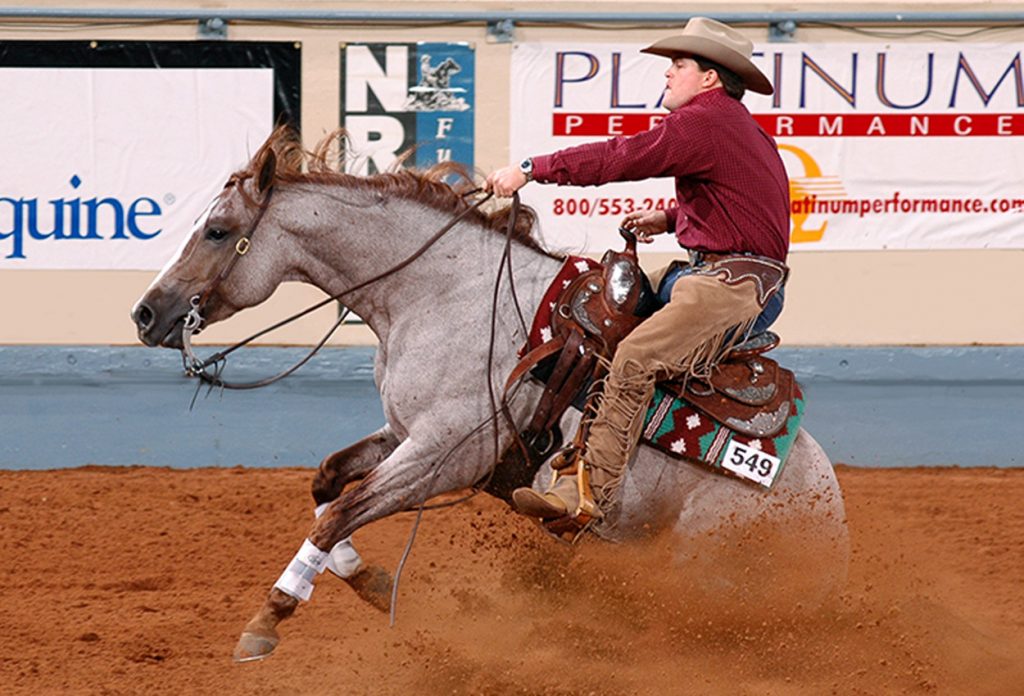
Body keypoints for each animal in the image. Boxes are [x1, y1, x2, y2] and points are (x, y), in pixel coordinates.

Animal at [131, 127, 849, 662]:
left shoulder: (445, 456)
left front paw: (267, 618)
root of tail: (831, 523)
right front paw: (371, 580)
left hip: (707, 570)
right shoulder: (404, 434)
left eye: (217, 230)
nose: (145, 313)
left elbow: (341, 512)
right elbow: (327, 485)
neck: (440, 292)